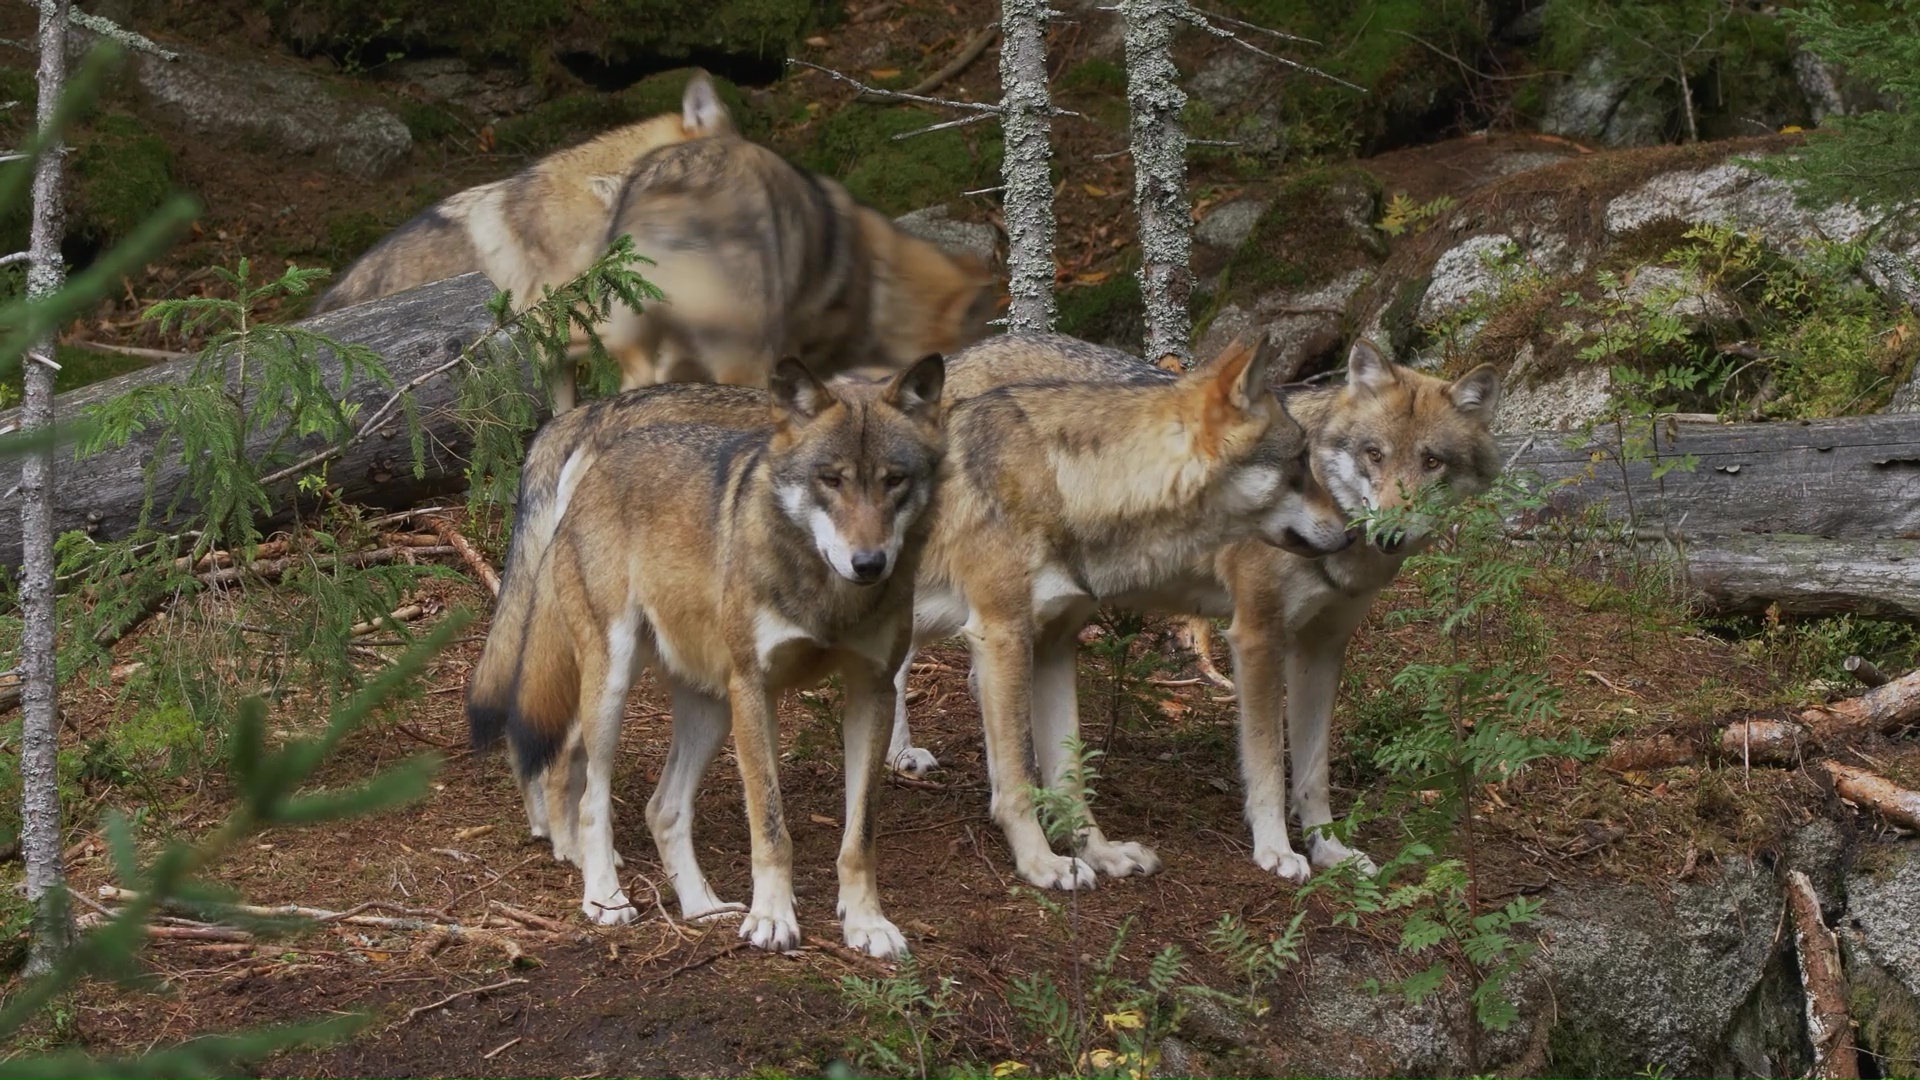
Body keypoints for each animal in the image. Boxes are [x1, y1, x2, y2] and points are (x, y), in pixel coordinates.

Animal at [466, 355, 947, 958]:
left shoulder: (872, 691)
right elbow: (770, 826)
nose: (869, 563)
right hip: (616, 685)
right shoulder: (754, 688)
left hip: (711, 708)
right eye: (830, 480)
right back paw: (606, 898)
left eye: (894, 480)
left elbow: (859, 836)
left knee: (662, 808)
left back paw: (702, 908)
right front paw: (772, 919)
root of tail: (592, 424)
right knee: (590, 797)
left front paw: (867, 924)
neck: (827, 595)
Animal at [885, 339, 1503, 885]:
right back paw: (902, 756)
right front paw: (1277, 852)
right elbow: (1267, 765)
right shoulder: (1256, 636)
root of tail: (968, 352)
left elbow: (1313, 773)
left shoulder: (1323, 649)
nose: (1384, 534)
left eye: (1432, 462)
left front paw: (1331, 852)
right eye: (1374, 454)